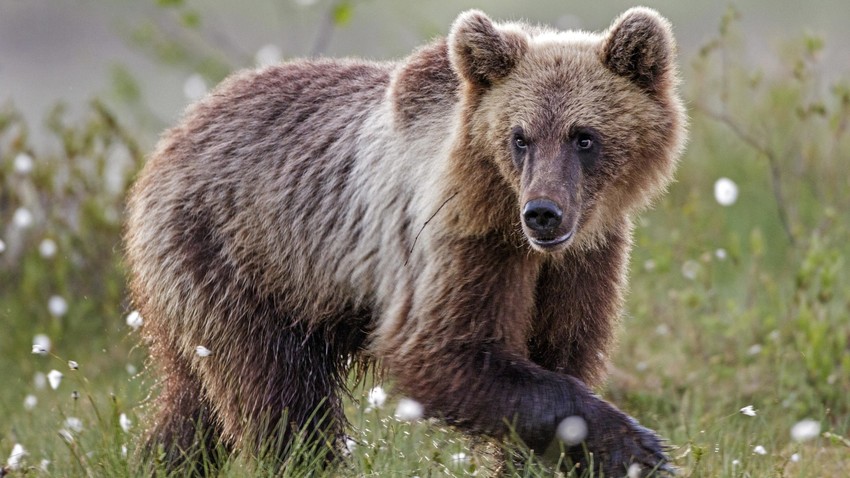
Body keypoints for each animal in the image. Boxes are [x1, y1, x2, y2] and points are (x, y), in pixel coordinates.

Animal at [124, 7, 686, 477]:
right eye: (519, 137)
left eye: (584, 136)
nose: (542, 214)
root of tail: (174, 134)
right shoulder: (461, 239)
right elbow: (444, 352)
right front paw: (637, 446)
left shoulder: (584, 260)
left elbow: (562, 349)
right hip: (237, 260)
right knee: (280, 401)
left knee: (192, 407)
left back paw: (159, 459)